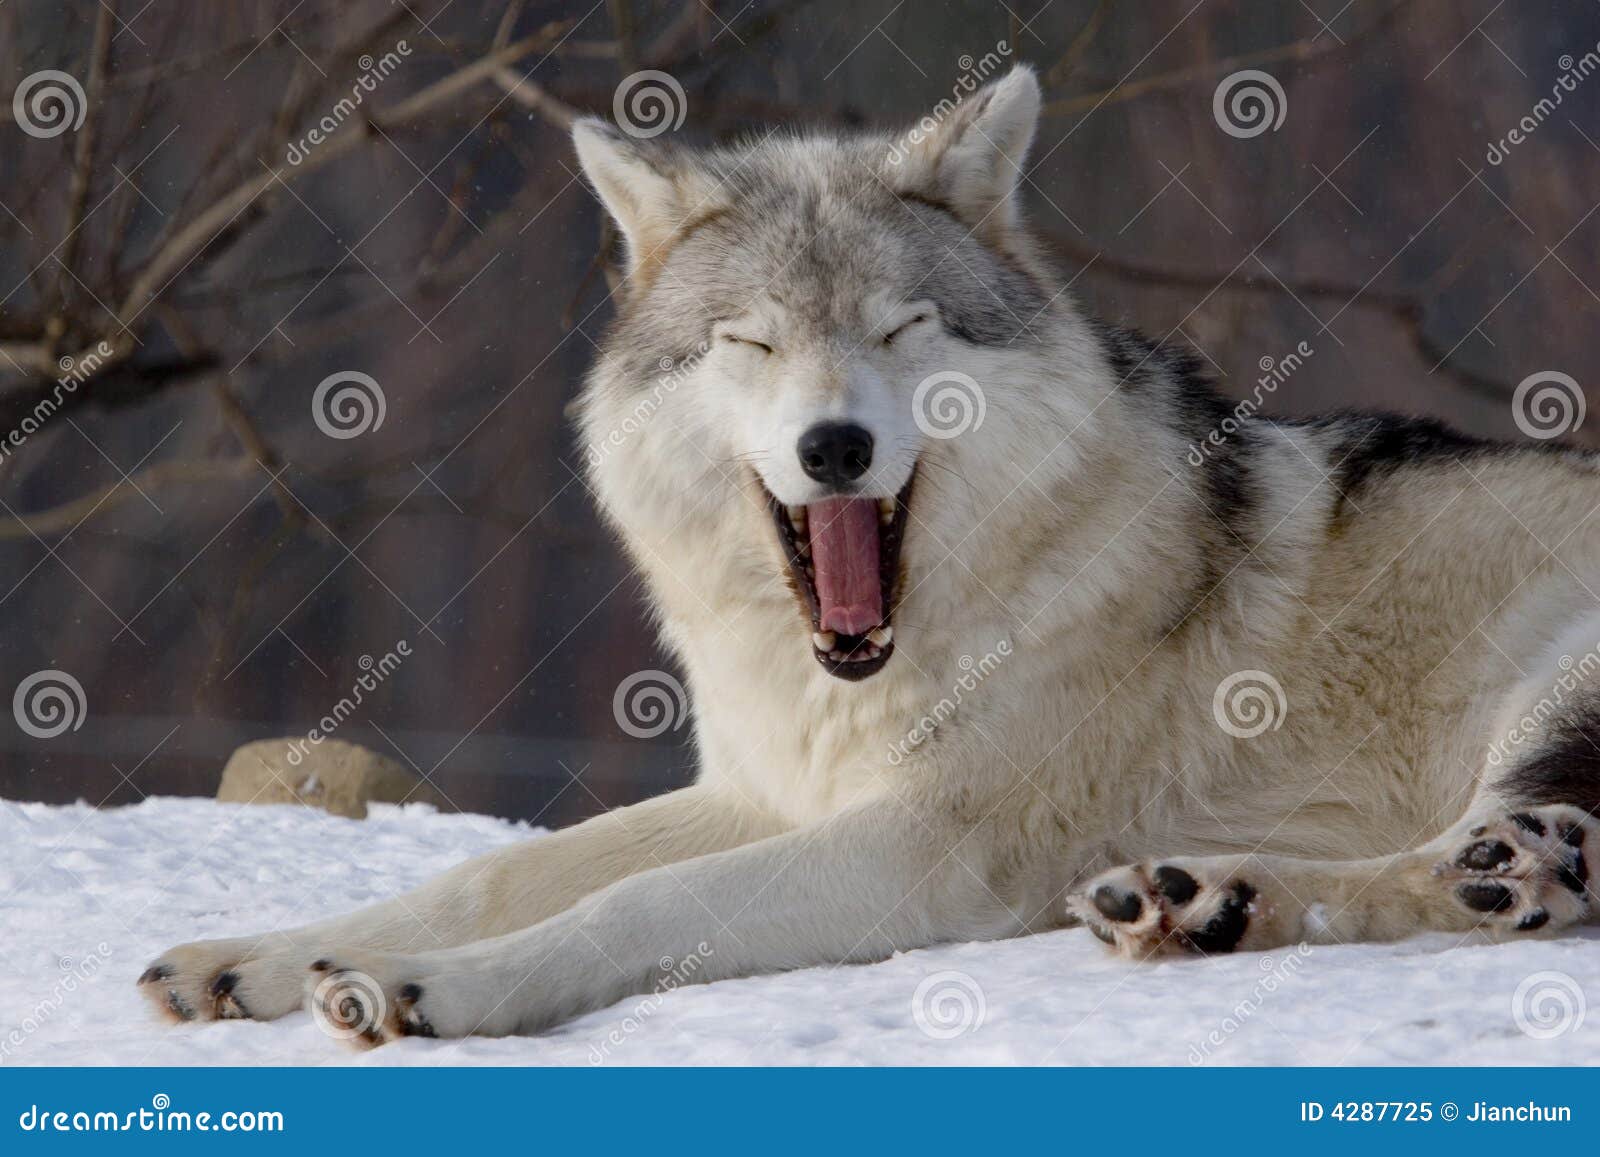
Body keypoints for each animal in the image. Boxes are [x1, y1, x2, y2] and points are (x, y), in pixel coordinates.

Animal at [140, 66, 1597, 1045]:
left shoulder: (924, 845)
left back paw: (1223, 894)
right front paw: (261, 958)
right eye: (751, 342)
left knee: (1527, 874)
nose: (834, 445)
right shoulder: (765, 794)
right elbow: (481, 874)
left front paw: (438, 988)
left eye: (904, 330)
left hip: (1543, 694)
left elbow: (637, 906)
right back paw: (1189, 901)